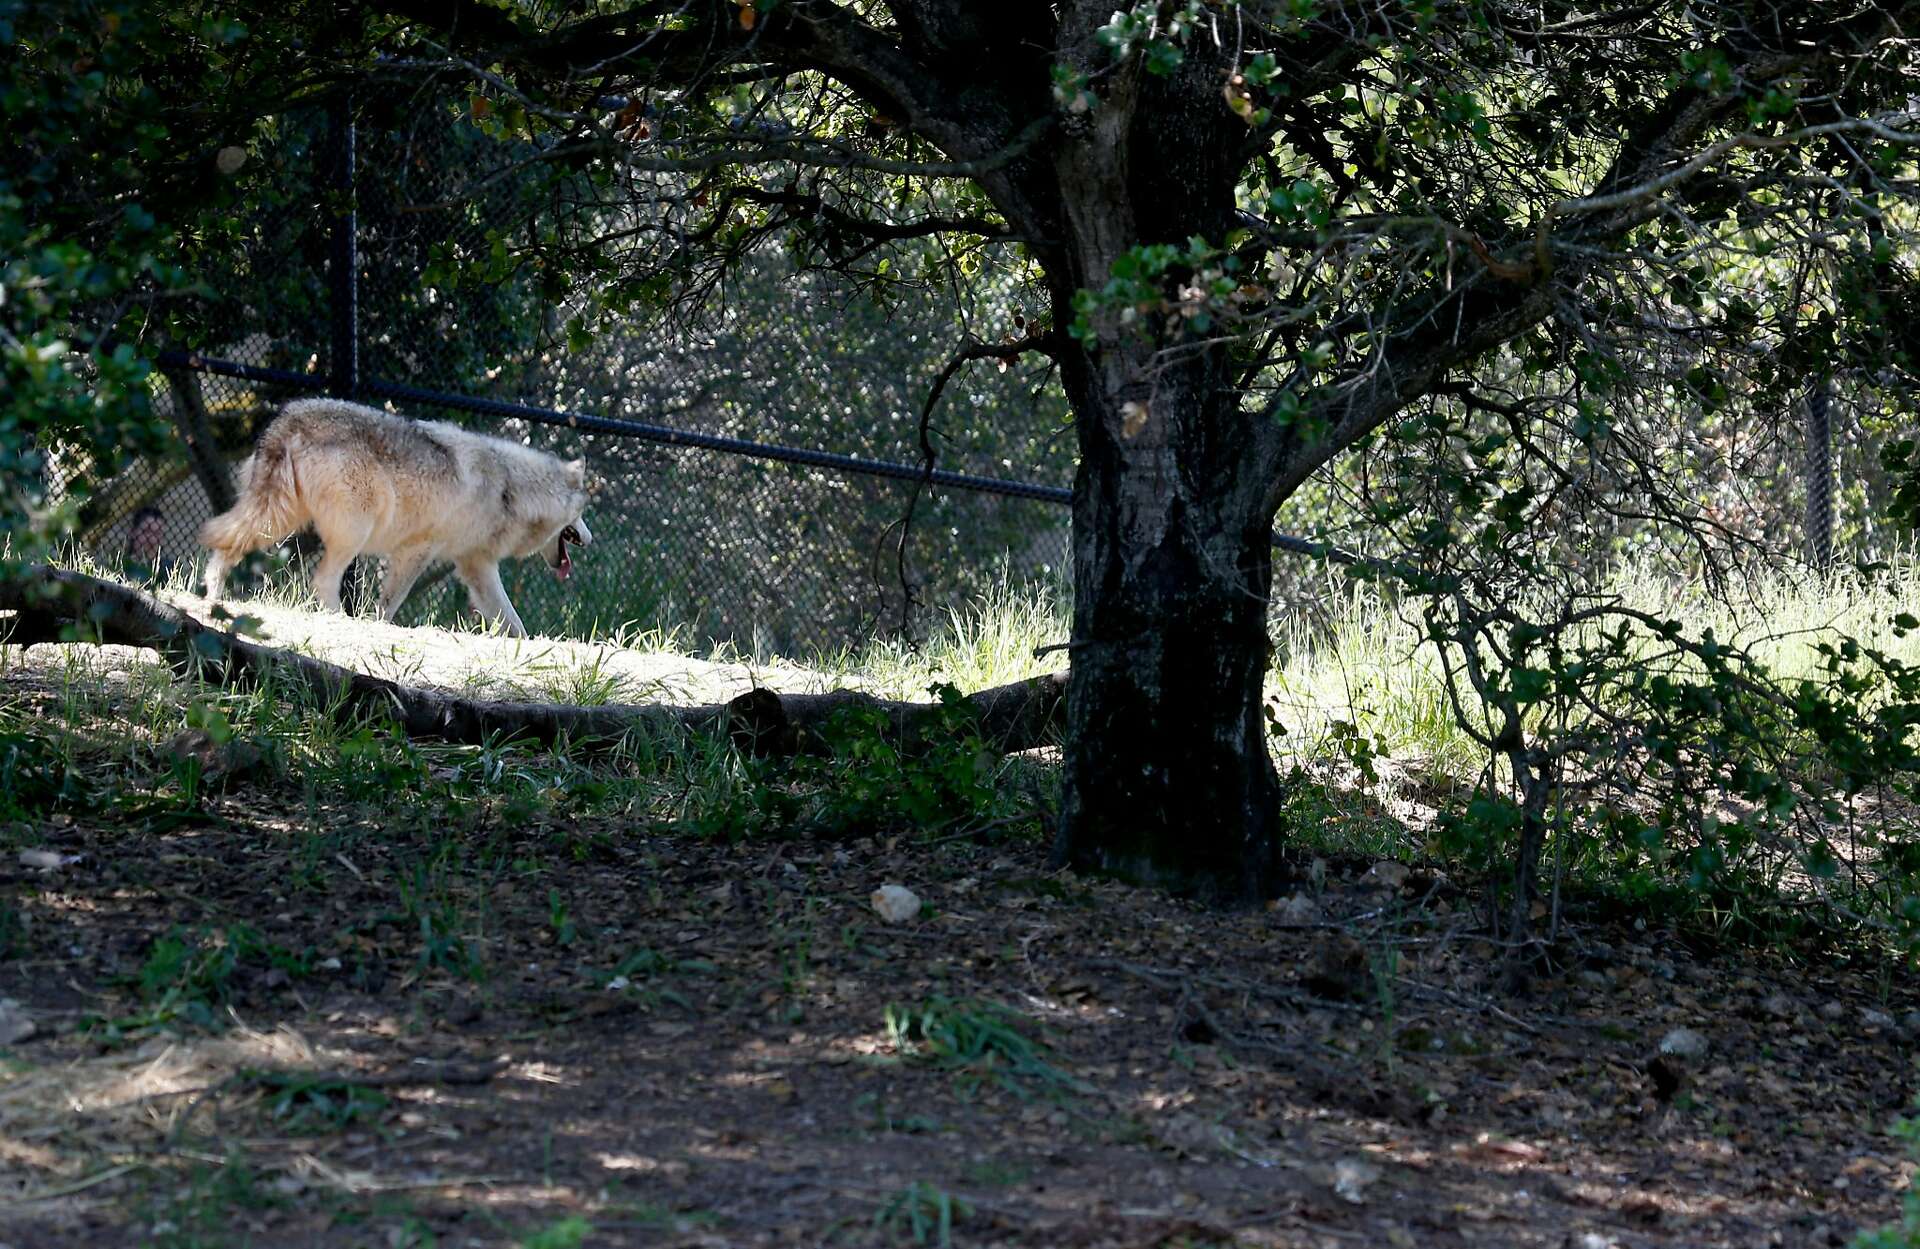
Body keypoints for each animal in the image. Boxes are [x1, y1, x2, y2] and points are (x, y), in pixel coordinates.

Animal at [200, 397, 592, 638]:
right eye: (582, 515)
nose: (589, 539)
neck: (511, 489)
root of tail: (289, 417)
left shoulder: (475, 565)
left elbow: (513, 621)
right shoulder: (417, 550)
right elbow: (390, 604)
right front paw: (377, 628)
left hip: (276, 521)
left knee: (226, 547)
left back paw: (213, 600)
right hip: (352, 531)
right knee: (322, 581)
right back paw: (340, 622)